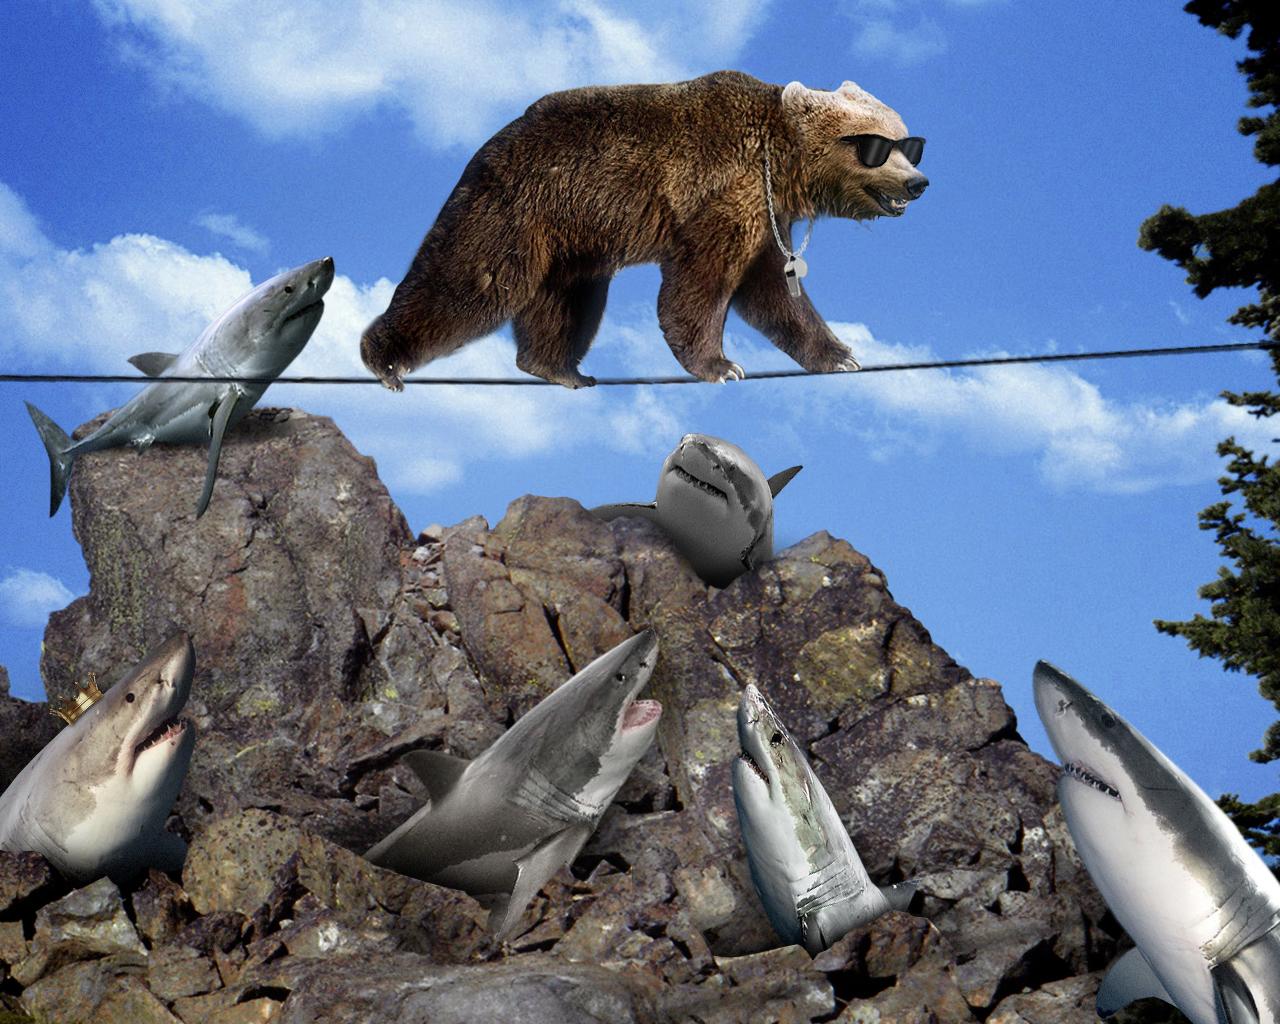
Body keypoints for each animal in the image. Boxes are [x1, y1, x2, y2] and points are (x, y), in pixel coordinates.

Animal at [360, 70, 927, 390]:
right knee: (474, 279)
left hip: (574, 234)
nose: (918, 182)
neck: (779, 161)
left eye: (908, 143)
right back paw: (384, 359)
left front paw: (840, 356)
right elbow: (704, 281)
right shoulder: (722, 190)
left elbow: (774, 288)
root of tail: (491, 143)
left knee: (568, 299)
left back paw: (559, 367)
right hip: (520, 205)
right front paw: (721, 364)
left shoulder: (768, 213)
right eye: (875, 146)